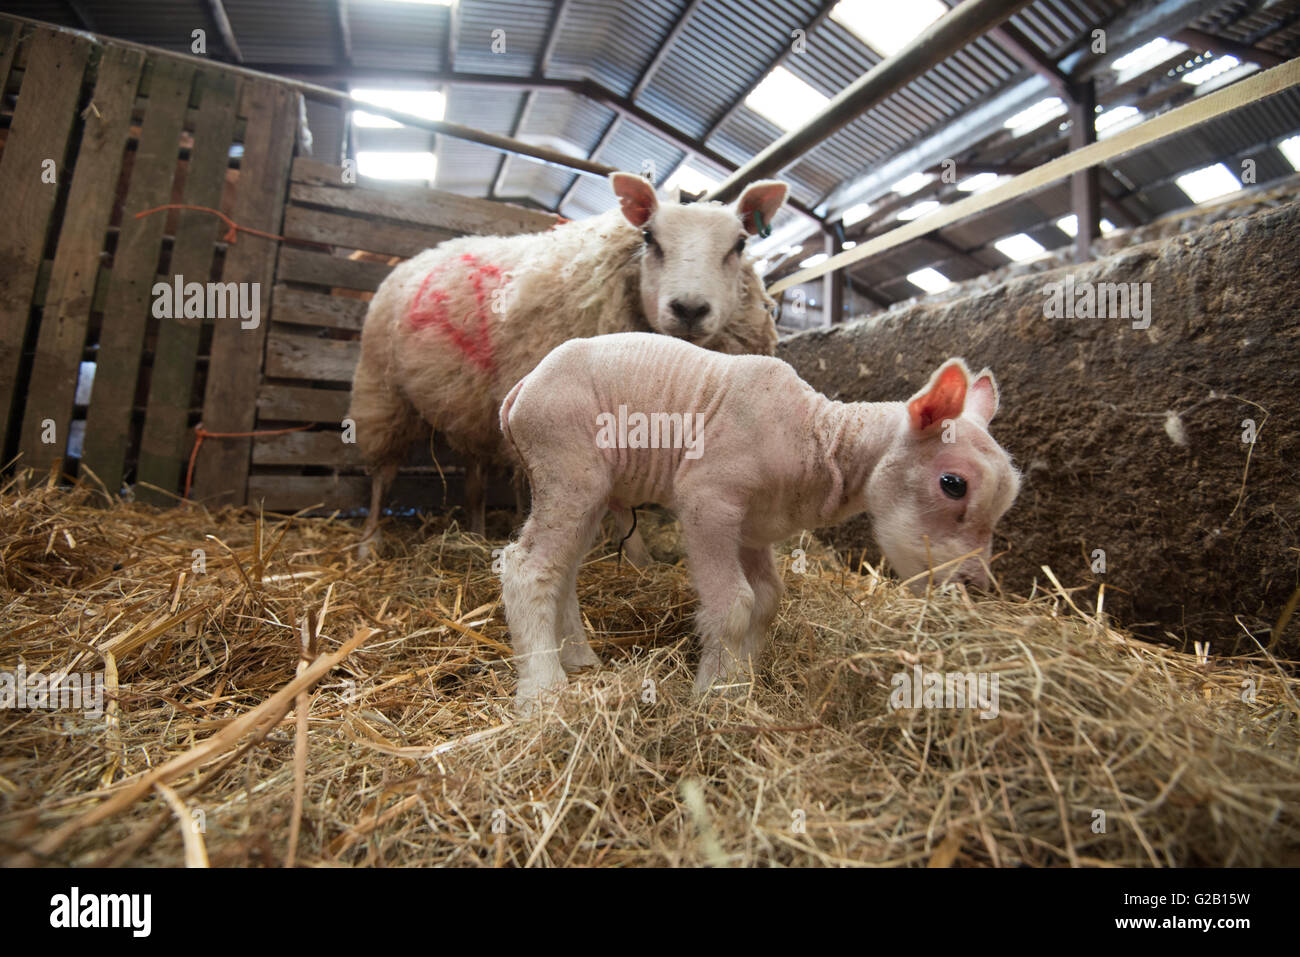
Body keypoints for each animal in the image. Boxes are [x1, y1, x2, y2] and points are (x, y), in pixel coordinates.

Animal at [347, 172, 789, 558]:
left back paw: (476, 532)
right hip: (383, 391)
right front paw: (638, 557)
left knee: (475, 479)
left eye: (740, 244)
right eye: (649, 237)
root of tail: (425, 254)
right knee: (383, 474)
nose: (690, 309)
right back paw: (370, 541)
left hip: (471, 404)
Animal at [499, 332, 1022, 715]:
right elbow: (734, 603)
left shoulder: (754, 527)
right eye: (953, 483)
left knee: (562, 573)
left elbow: (767, 600)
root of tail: (521, 388)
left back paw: (578, 657)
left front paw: (743, 677)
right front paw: (713, 694)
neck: (820, 439)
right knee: (527, 568)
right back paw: (542, 693)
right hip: (567, 463)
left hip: (581, 487)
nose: (975, 586)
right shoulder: (708, 497)